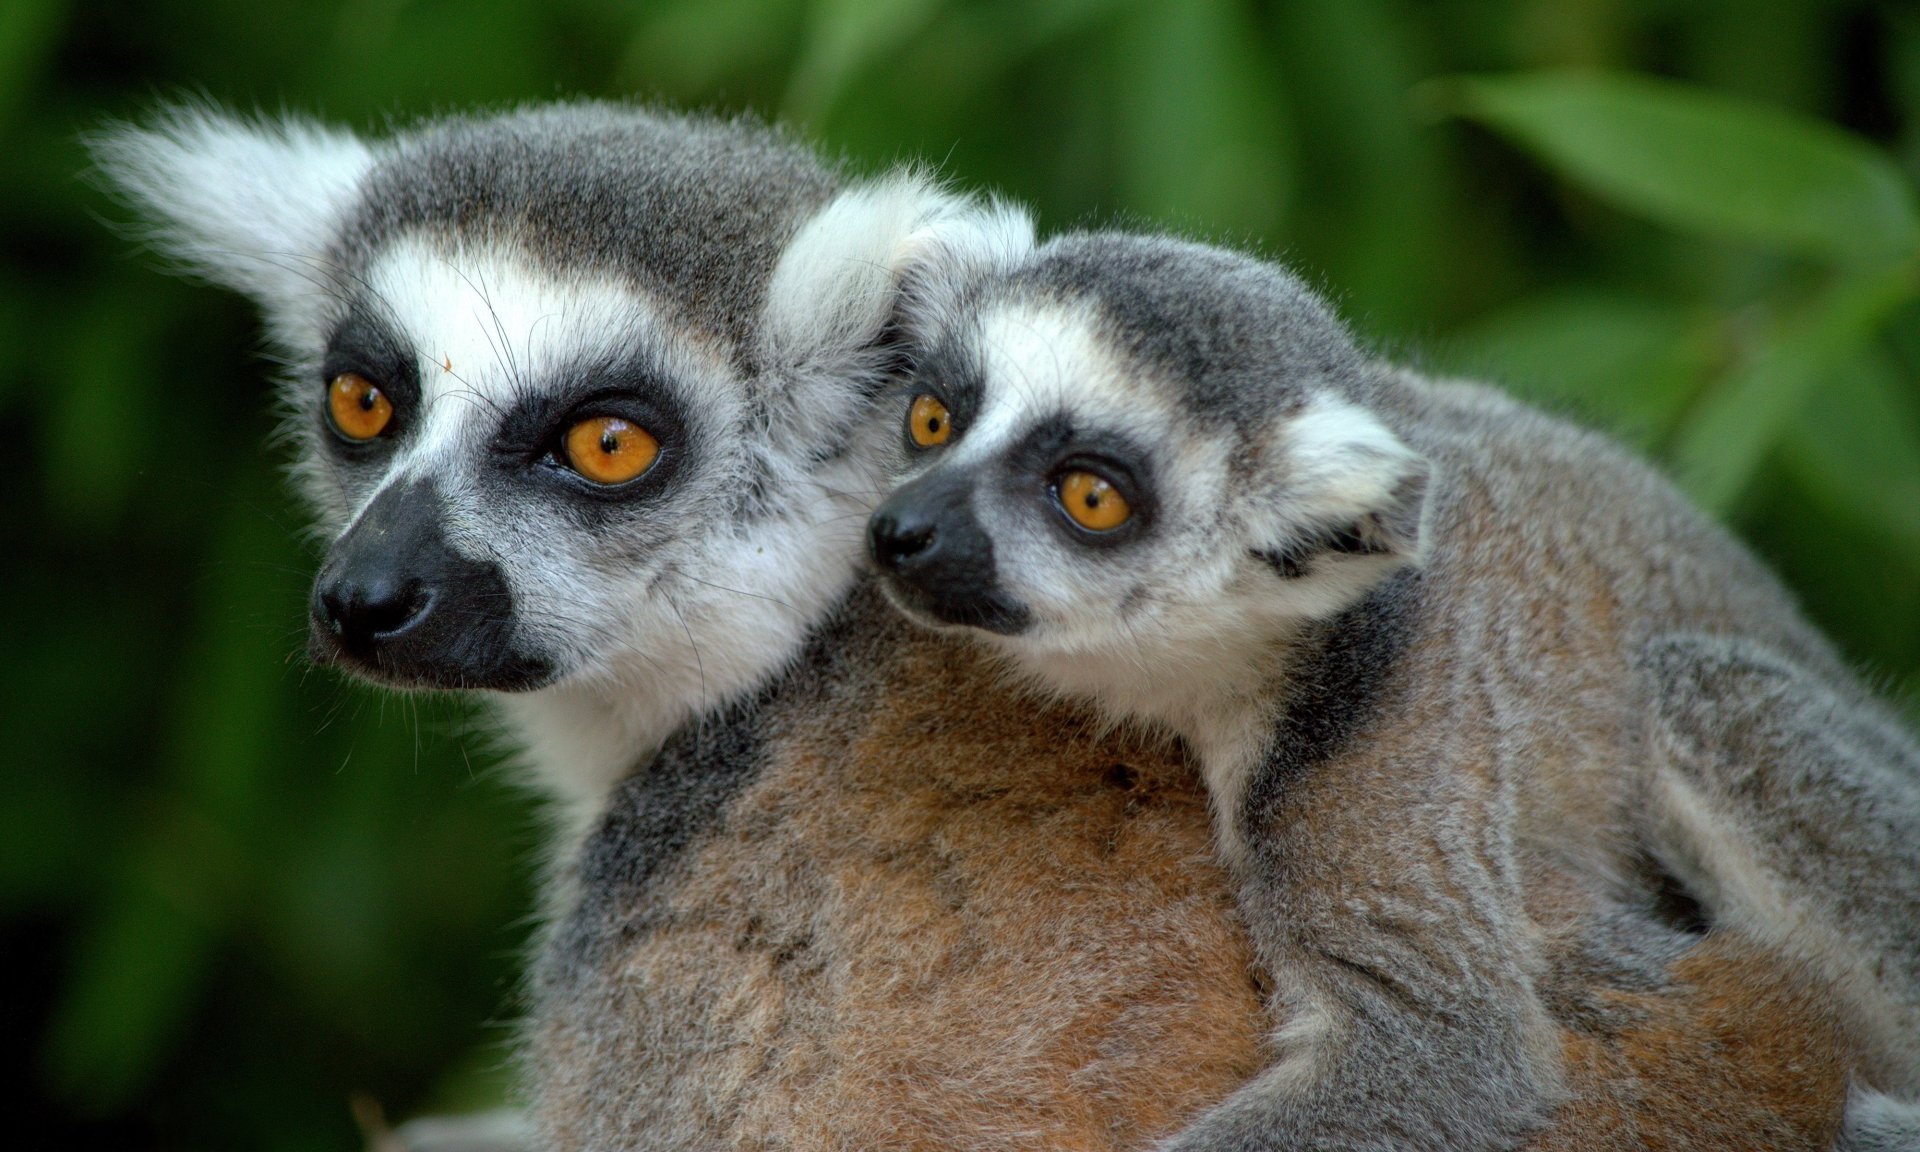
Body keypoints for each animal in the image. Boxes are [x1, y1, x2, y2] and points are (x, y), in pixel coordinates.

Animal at [865, 228, 1920, 1150]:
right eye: (932, 419)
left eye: (1090, 496)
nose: (900, 531)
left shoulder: (1375, 729)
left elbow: (1440, 1046)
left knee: (1707, 690)